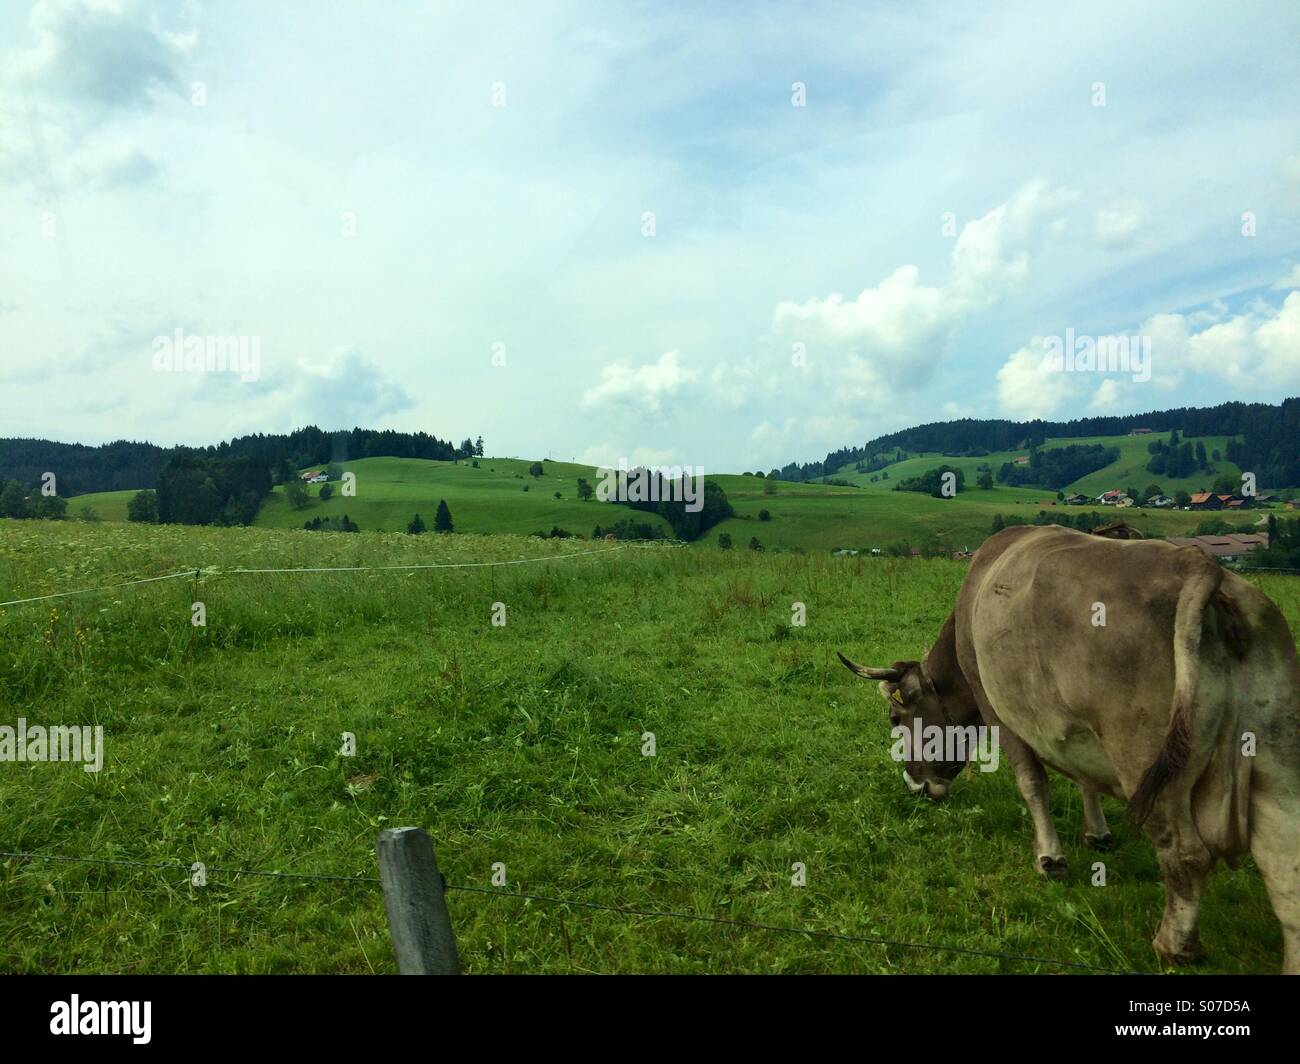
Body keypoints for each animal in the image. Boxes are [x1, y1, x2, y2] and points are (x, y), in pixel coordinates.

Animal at [838, 524, 1300, 972]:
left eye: (895, 718)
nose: (914, 785)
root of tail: (1199, 566)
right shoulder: (1077, 728)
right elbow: (1084, 779)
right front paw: (1096, 831)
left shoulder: (997, 711)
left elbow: (1033, 783)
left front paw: (1050, 858)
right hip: (1275, 762)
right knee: (1286, 872)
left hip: (1146, 759)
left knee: (1185, 854)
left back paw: (1173, 944)